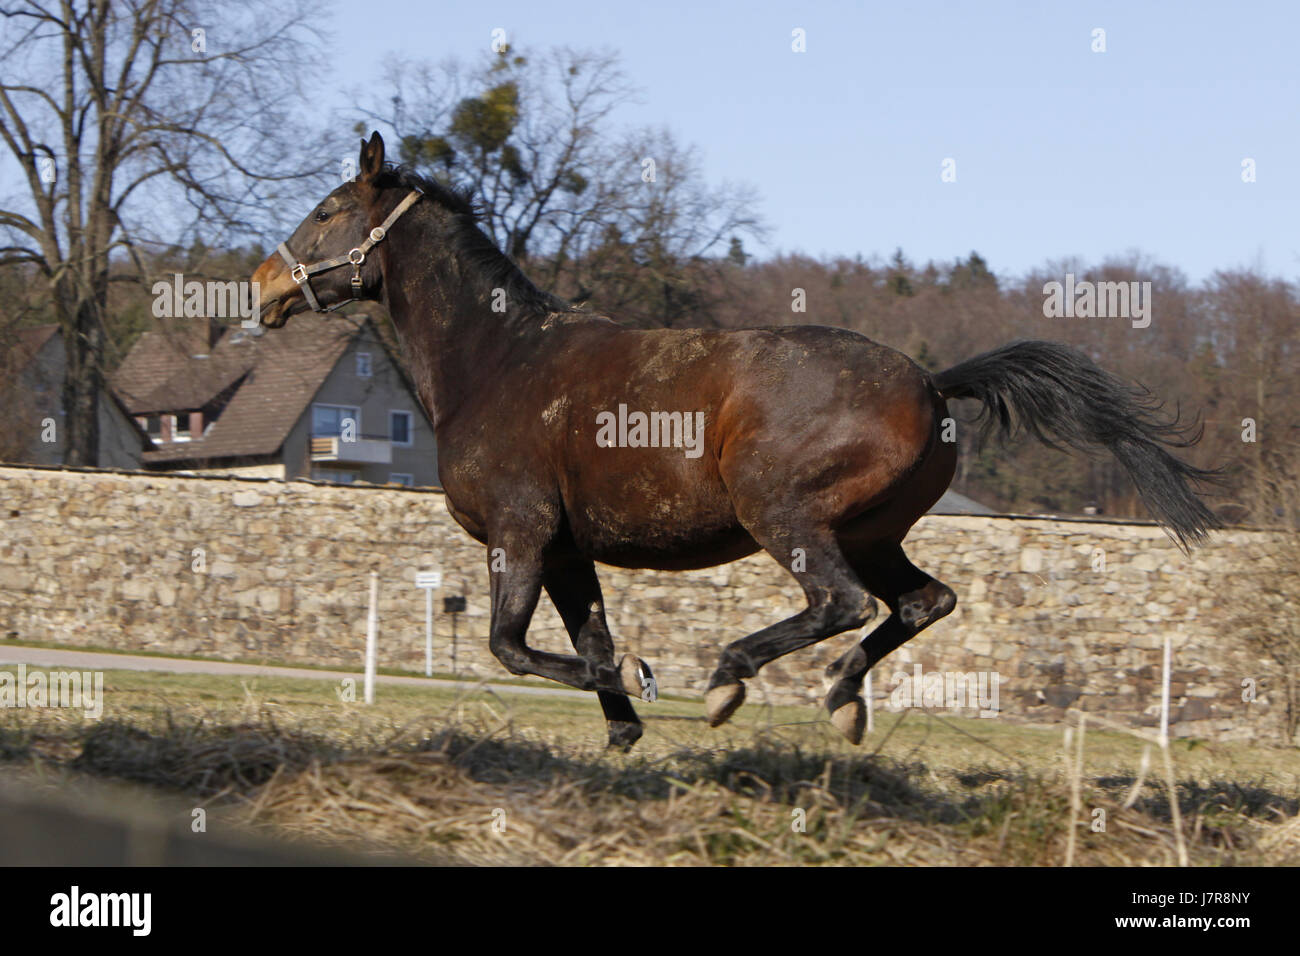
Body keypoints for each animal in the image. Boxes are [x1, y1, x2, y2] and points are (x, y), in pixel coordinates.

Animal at [252, 132, 1220, 751]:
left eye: (330, 209)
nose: (264, 287)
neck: (496, 360)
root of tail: (932, 382)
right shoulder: (567, 551)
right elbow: (586, 647)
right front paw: (625, 730)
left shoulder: (519, 536)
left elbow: (516, 649)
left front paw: (648, 681)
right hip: (871, 530)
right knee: (921, 602)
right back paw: (843, 700)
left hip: (783, 512)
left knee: (843, 603)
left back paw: (730, 679)